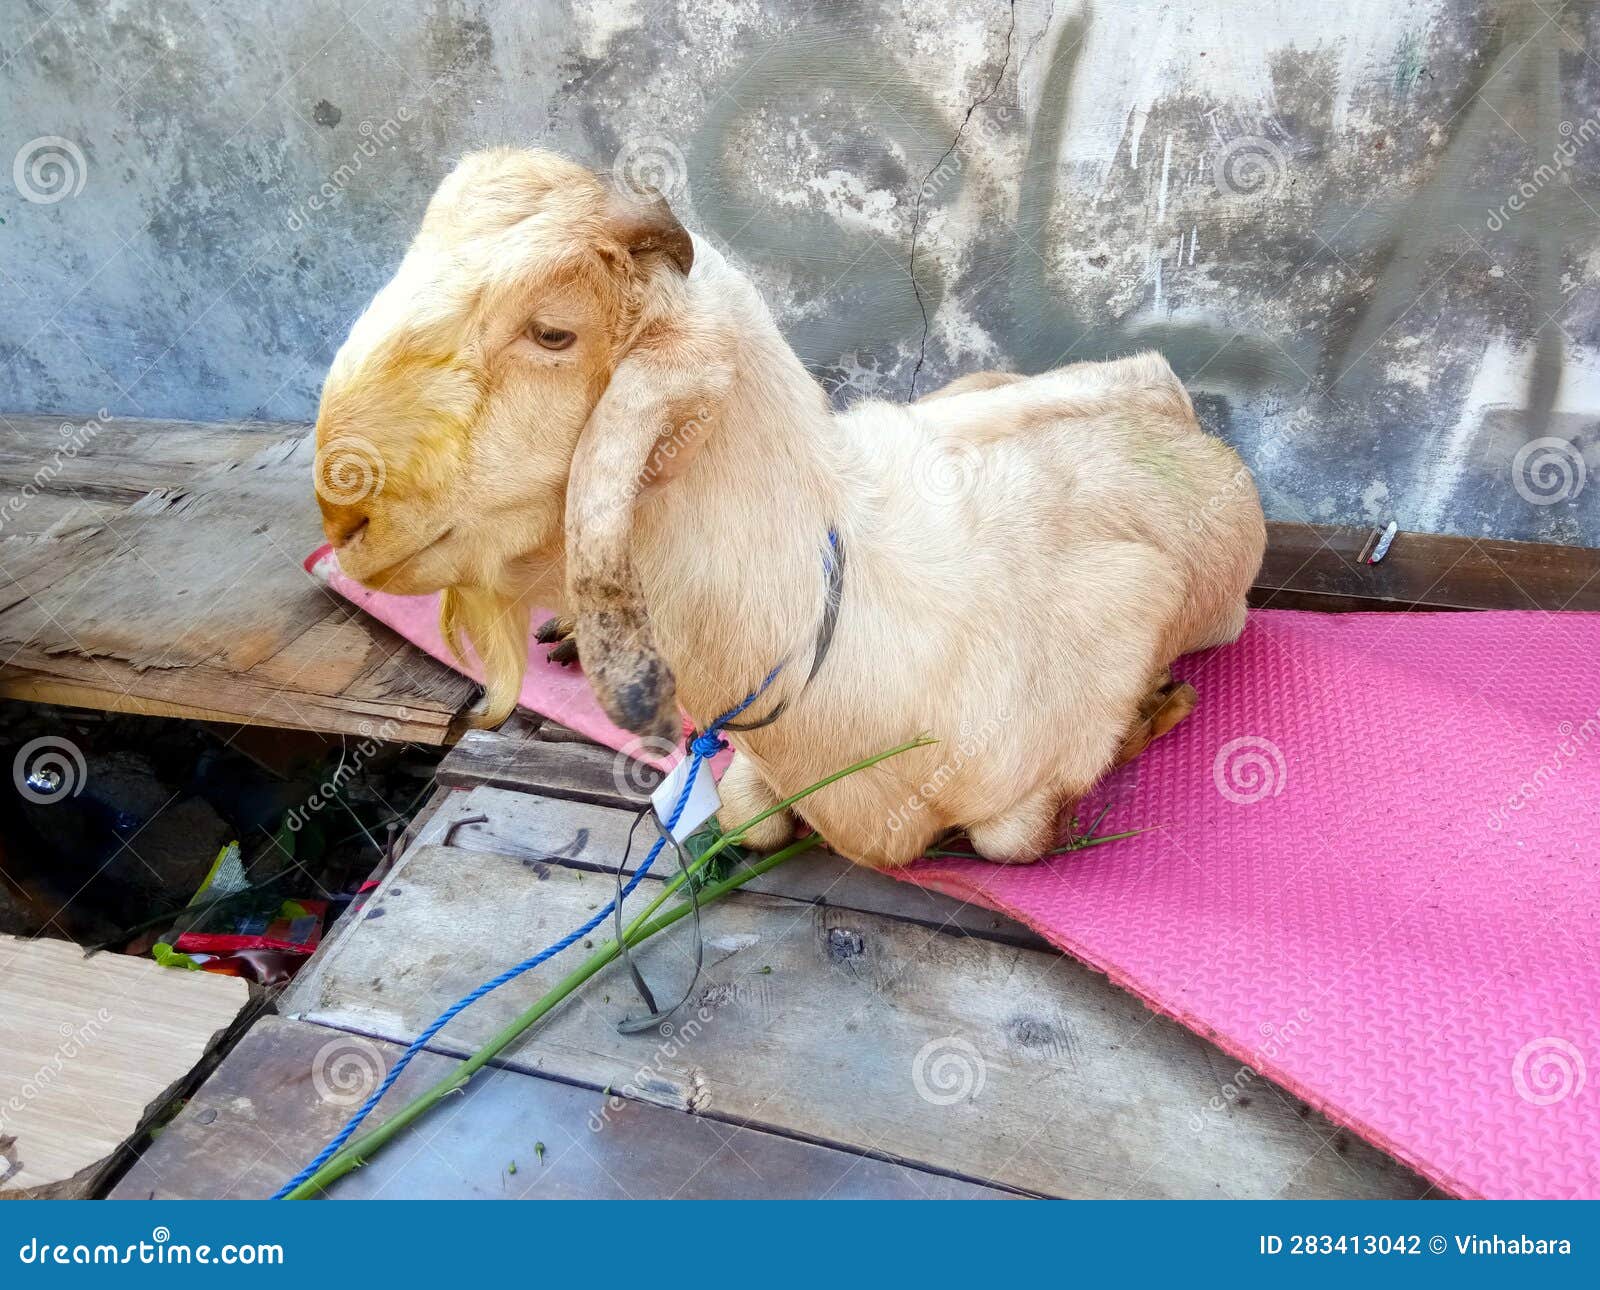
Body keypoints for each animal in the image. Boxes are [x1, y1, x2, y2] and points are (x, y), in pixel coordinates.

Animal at [314, 148, 1266, 868]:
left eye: (552, 332)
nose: (341, 515)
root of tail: (1168, 391)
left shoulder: (1127, 609)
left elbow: (1014, 839)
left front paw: (1154, 710)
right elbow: (749, 817)